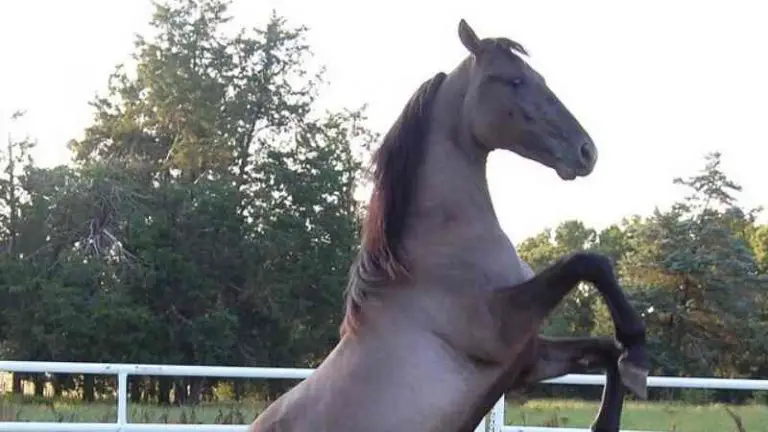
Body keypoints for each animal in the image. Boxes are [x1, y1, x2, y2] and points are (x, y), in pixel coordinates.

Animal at [248, 19, 648, 432]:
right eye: (515, 80)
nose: (586, 152)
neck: (440, 244)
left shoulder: (526, 359)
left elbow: (607, 351)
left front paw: (627, 379)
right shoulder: (499, 329)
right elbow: (589, 262)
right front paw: (637, 344)